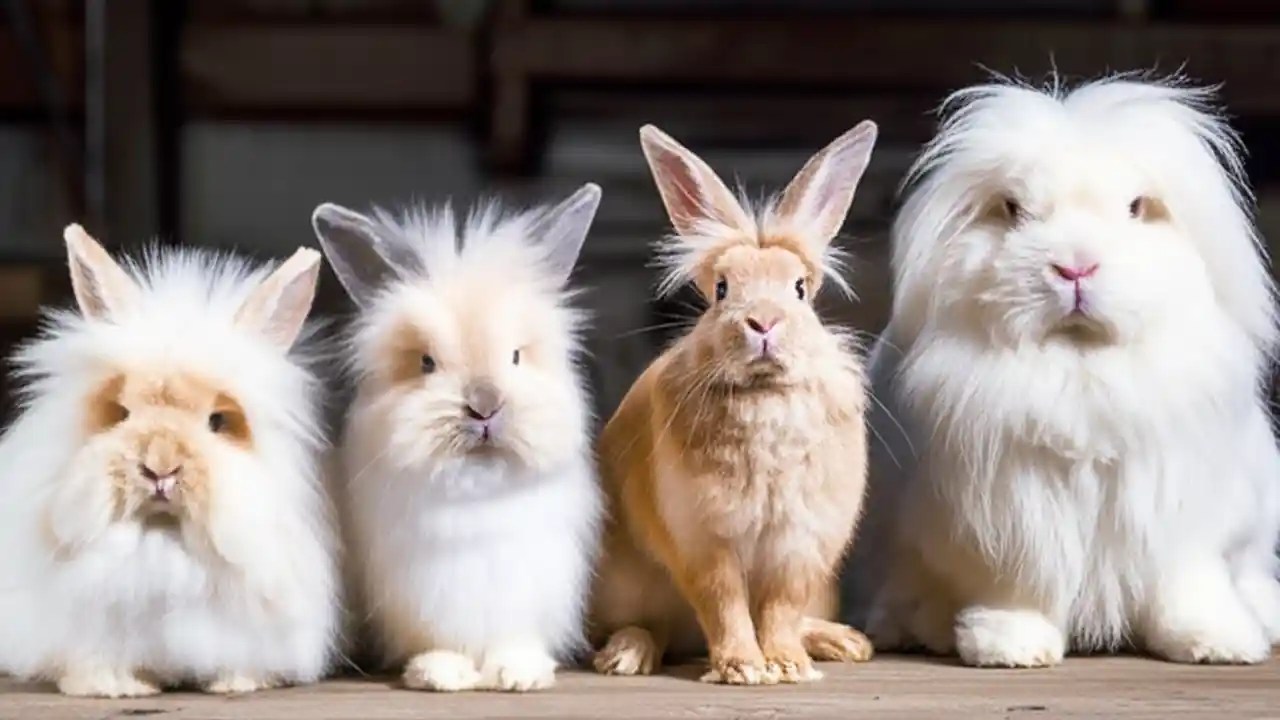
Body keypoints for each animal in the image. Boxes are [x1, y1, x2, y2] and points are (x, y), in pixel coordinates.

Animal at [0, 225, 340, 696]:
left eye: (217, 421)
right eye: (122, 412)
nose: (160, 467)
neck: (162, 540)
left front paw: (235, 684)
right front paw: (115, 687)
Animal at [312, 184, 604, 693]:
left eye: (515, 356)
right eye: (426, 363)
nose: (485, 406)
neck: (478, 492)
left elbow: (515, 637)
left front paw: (518, 673)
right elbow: (437, 640)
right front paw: (440, 673)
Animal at [589, 123, 878, 686]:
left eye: (799, 289)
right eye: (722, 289)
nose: (763, 323)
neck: (763, 397)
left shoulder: (798, 546)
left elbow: (780, 610)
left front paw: (786, 665)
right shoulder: (705, 542)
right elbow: (725, 606)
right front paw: (743, 667)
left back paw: (843, 643)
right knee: (650, 628)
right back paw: (625, 656)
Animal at [843, 75, 1280, 667]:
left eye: (1136, 207)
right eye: (1012, 208)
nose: (1075, 267)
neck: (1078, 365)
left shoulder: (1183, 517)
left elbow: (1186, 584)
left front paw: (1215, 643)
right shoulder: (1002, 519)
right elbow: (1015, 588)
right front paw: (1010, 647)